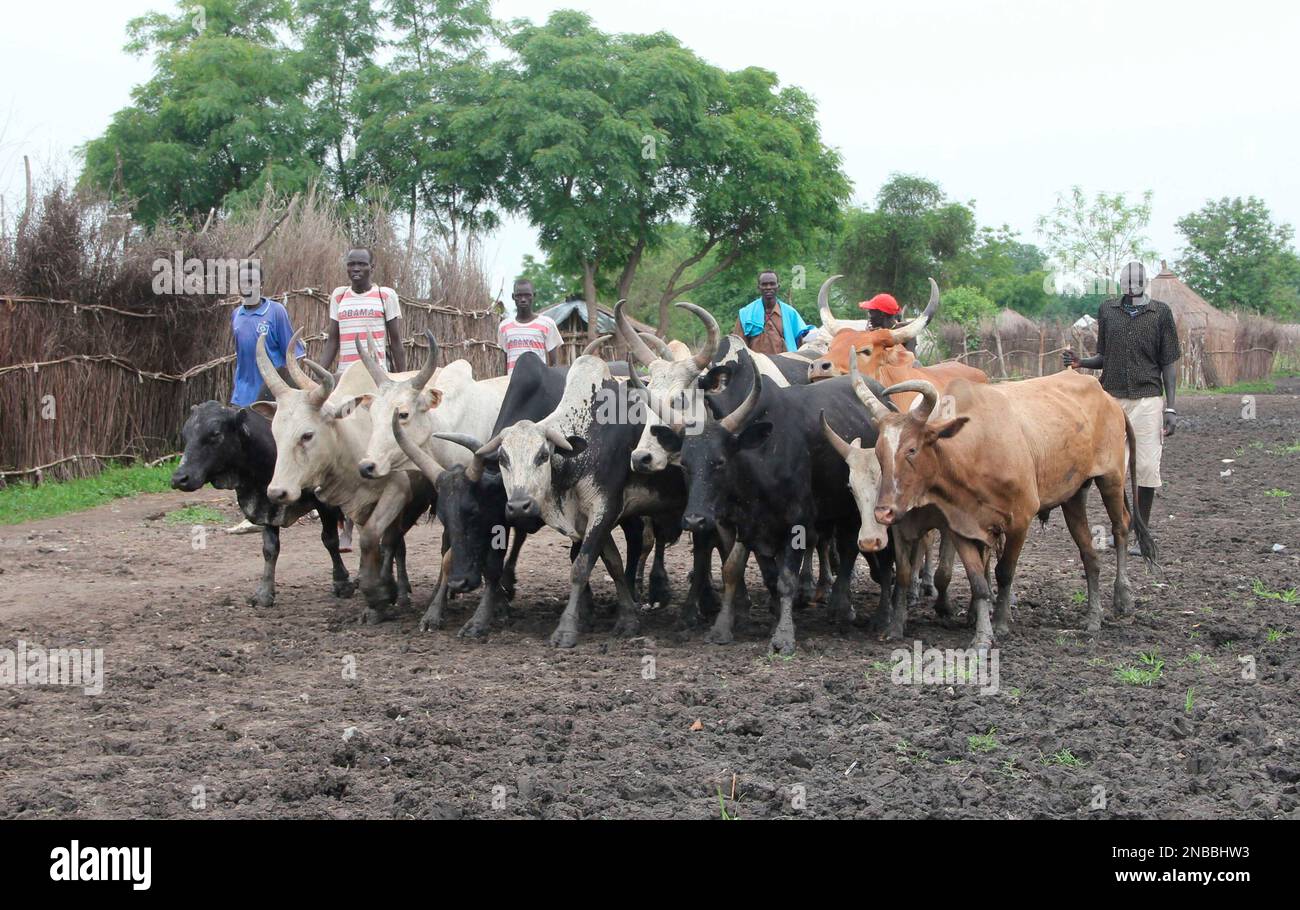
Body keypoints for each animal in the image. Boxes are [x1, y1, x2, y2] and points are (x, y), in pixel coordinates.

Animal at [171, 398, 355, 608]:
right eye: (185, 434)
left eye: (215, 434)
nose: (179, 479)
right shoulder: (266, 507)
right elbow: (270, 548)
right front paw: (264, 593)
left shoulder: (326, 503)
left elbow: (329, 540)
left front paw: (342, 582)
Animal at [251, 334, 434, 624]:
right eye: (275, 432)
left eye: (307, 435)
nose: (277, 492)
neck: (348, 439)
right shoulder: (357, 504)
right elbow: (375, 543)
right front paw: (380, 594)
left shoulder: (398, 491)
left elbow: (373, 539)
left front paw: (377, 594)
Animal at [646, 362, 896, 655]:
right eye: (684, 463)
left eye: (720, 462)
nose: (695, 520)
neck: (762, 463)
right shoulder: (746, 528)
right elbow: (745, 572)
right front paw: (728, 627)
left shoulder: (797, 526)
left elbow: (786, 580)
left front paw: (784, 635)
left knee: (852, 551)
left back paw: (848, 610)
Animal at [860, 370, 1157, 650]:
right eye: (879, 452)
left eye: (912, 449)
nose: (883, 512)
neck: (975, 449)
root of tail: (1107, 397)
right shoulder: (960, 525)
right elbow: (978, 581)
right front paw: (982, 636)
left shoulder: (1020, 521)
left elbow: (1004, 572)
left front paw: (1001, 623)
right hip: (1073, 497)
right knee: (1089, 553)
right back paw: (1093, 617)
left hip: (1111, 479)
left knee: (1121, 527)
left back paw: (1123, 597)